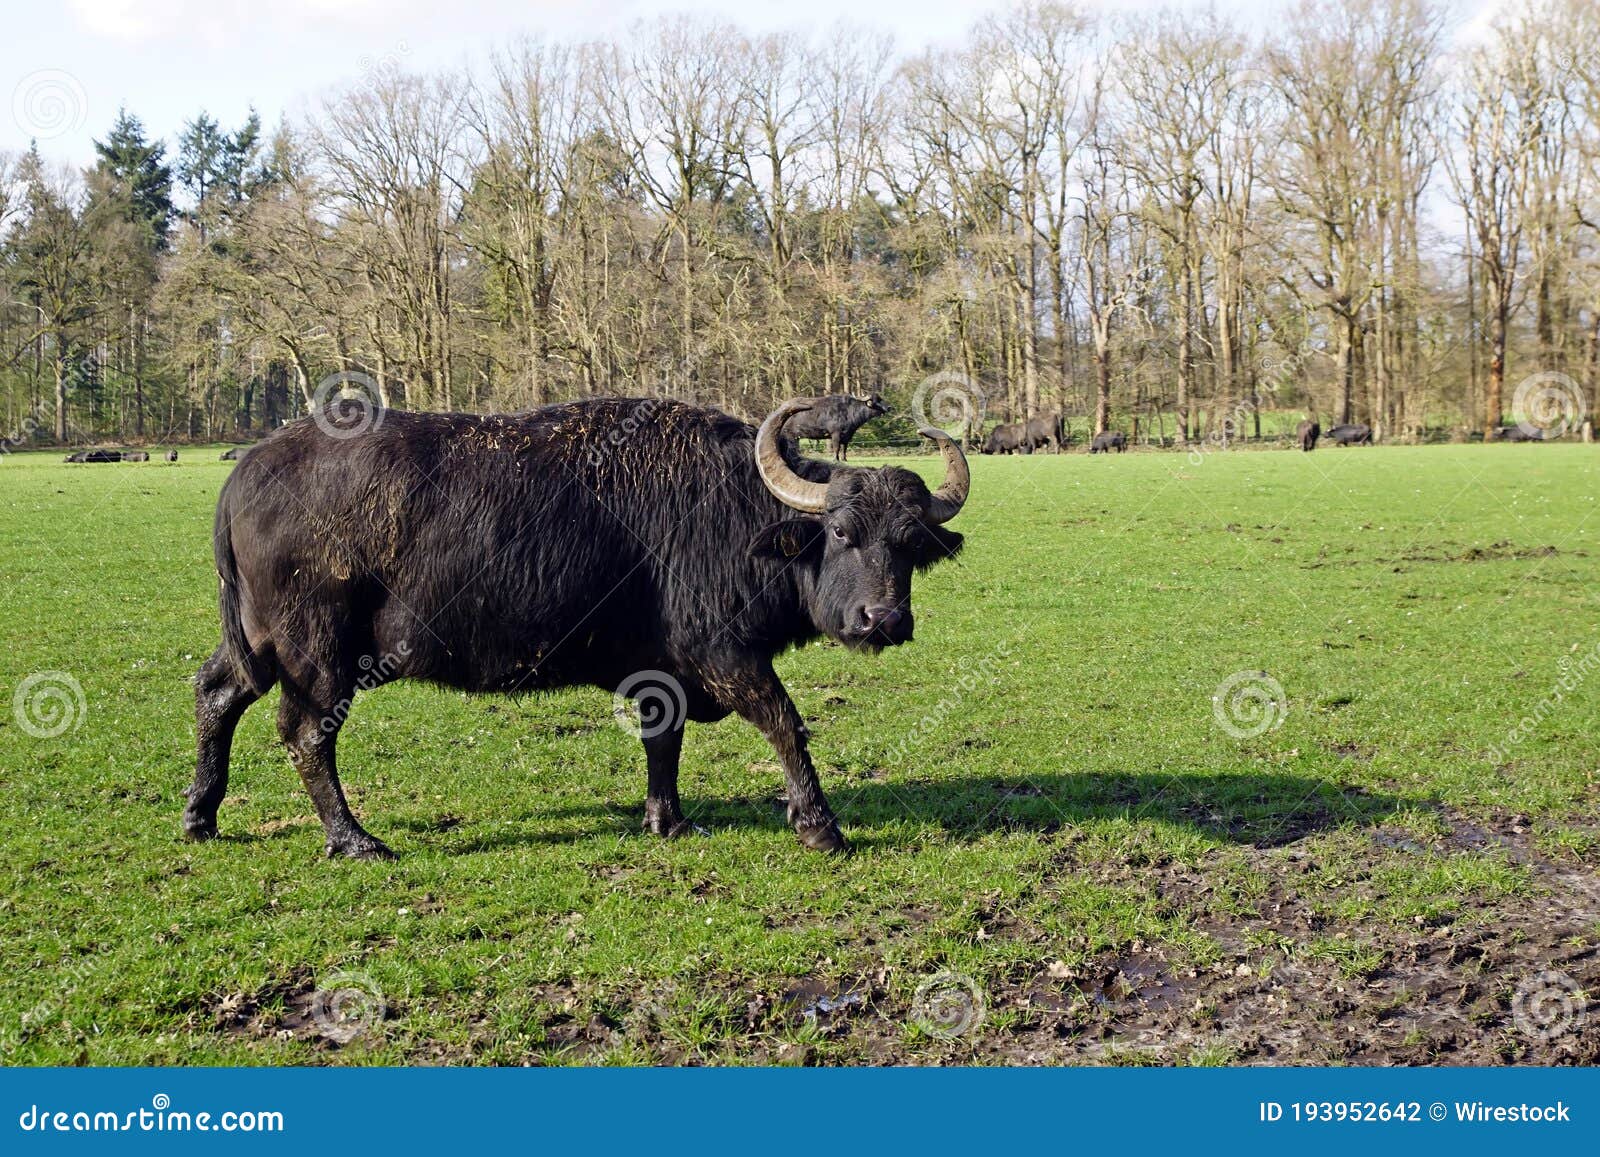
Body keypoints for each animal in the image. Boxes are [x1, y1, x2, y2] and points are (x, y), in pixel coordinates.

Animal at [184, 397, 970, 858]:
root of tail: (250, 470)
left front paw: (668, 819)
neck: (732, 513)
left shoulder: (664, 670)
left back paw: (202, 815)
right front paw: (819, 825)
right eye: (839, 531)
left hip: (256, 640)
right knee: (305, 733)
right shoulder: (723, 653)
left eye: (908, 542)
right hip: (318, 652)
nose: (884, 618)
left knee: (216, 693)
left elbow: (663, 738)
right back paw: (353, 838)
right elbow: (784, 722)